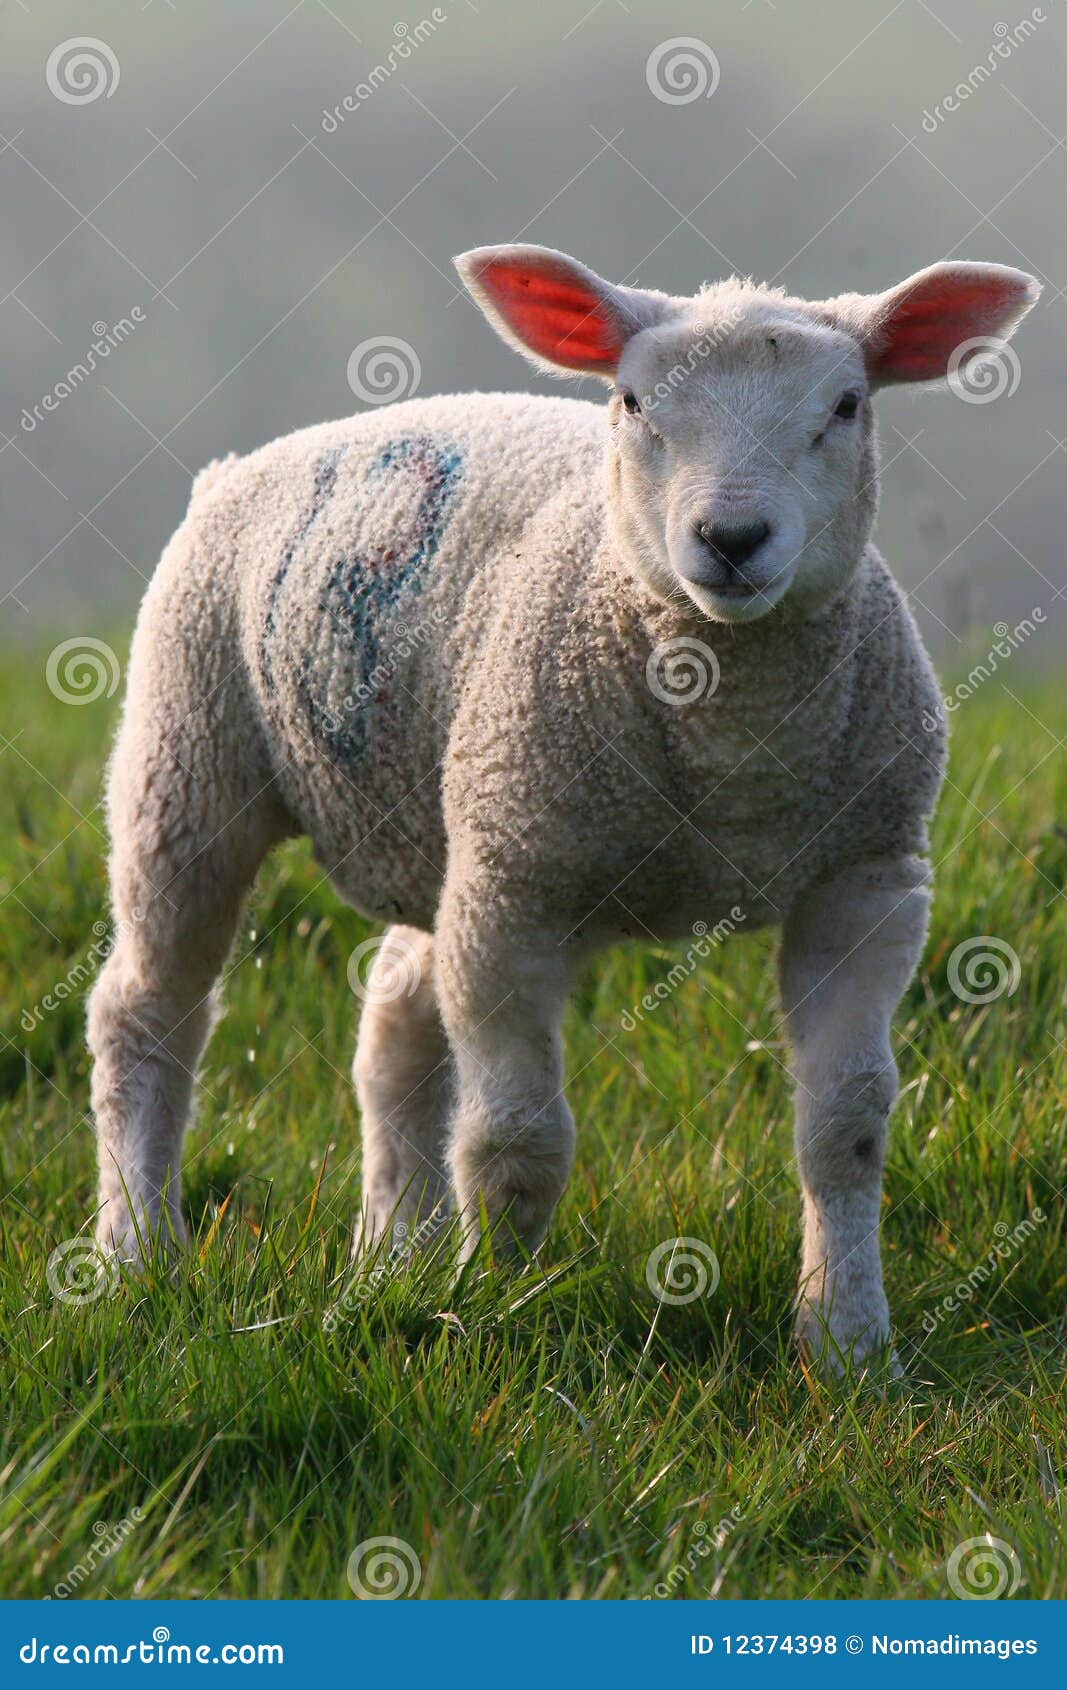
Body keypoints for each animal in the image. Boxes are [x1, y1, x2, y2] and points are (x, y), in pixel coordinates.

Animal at [87, 243, 1038, 1368]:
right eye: (630, 402)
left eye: (846, 405)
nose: (731, 537)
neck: (735, 760)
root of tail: (243, 464)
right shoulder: (518, 890)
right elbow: (514, 1139)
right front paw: (491, 1322)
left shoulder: (865, 881)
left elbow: (843, 1130)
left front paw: (848, 1345)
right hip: (190, 756)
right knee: (146, 1013)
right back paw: (138, 1252)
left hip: (452, 815)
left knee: (395, 1019)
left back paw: (389, 1257)